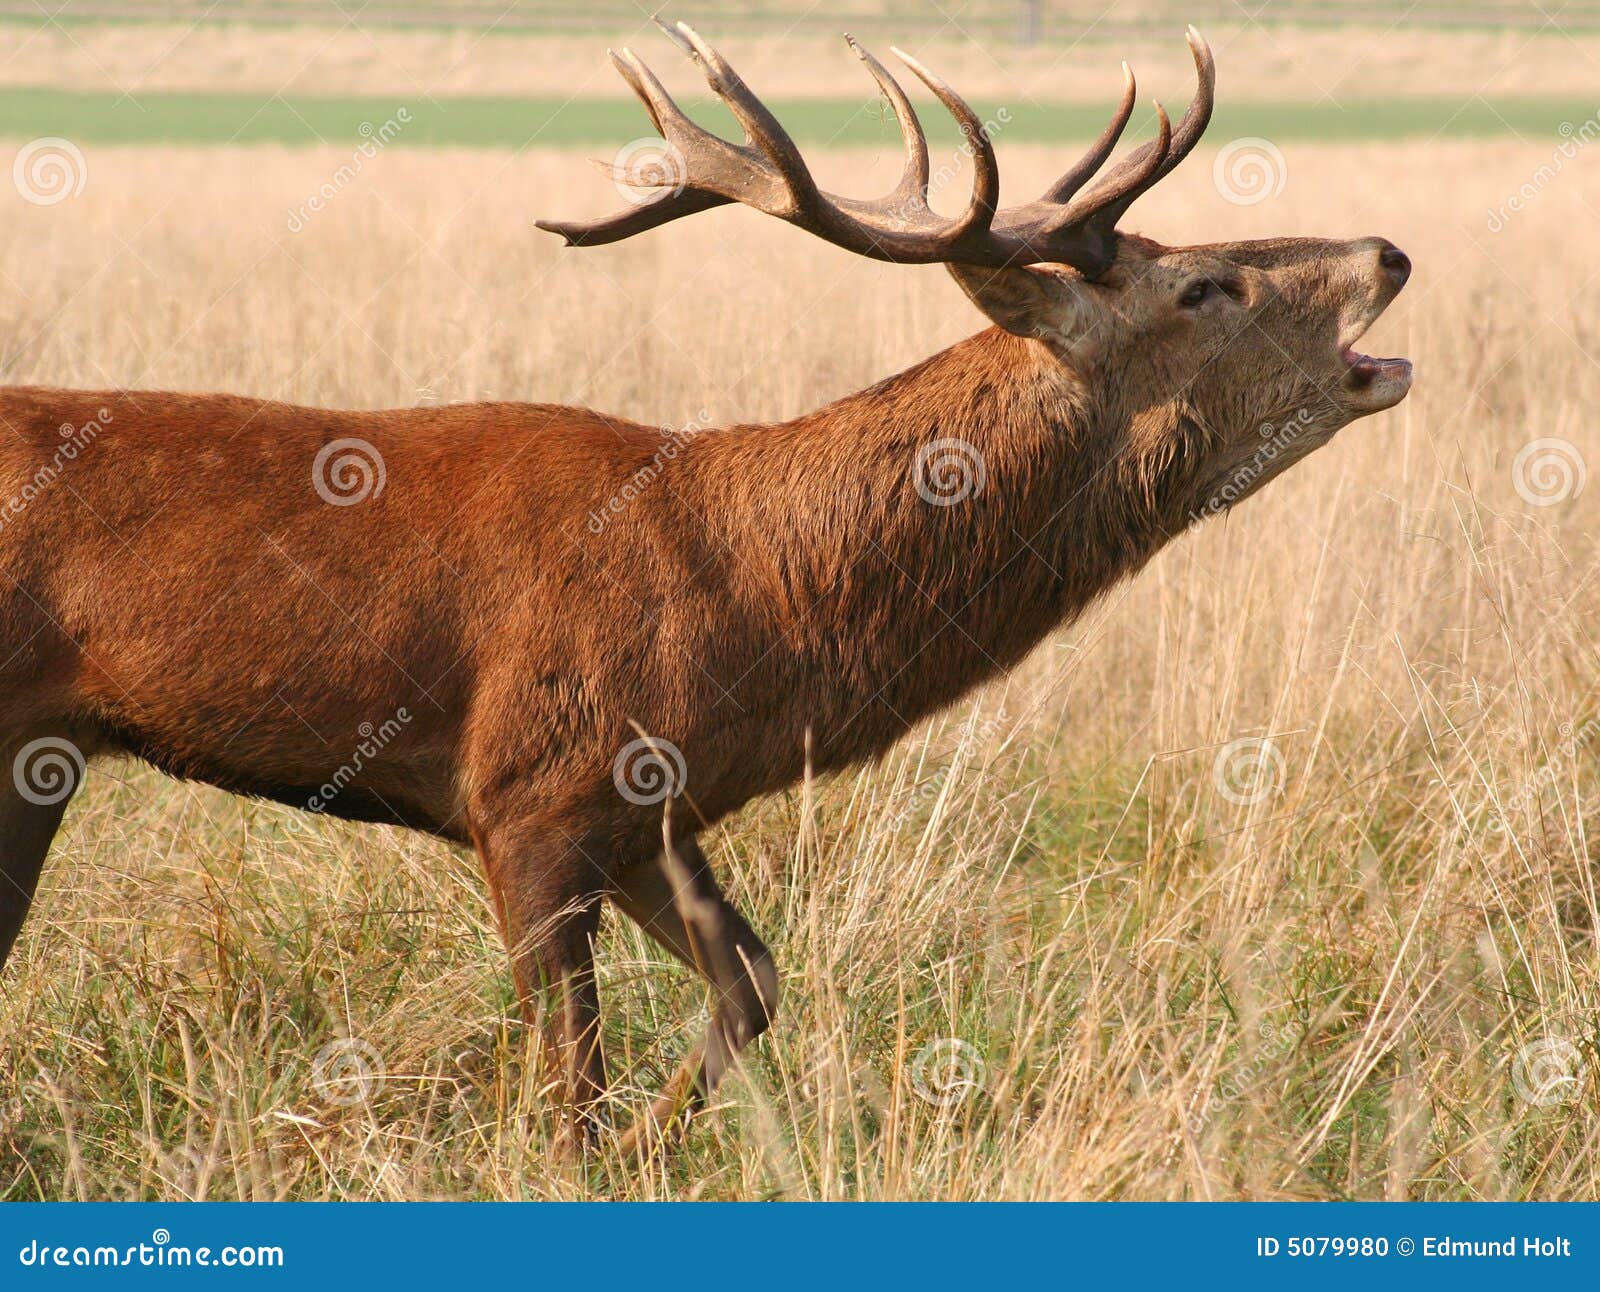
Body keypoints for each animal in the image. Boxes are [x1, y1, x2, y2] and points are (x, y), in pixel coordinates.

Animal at [0, 22, 1411, 1154]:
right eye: (1205, 284)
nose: (1390, 250)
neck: (758, 592)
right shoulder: (528, 787)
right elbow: (573, 1084)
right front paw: (594, 1158)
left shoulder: (650, 813)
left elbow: (752, 984)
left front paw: (662, 1144)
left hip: (39, 756)